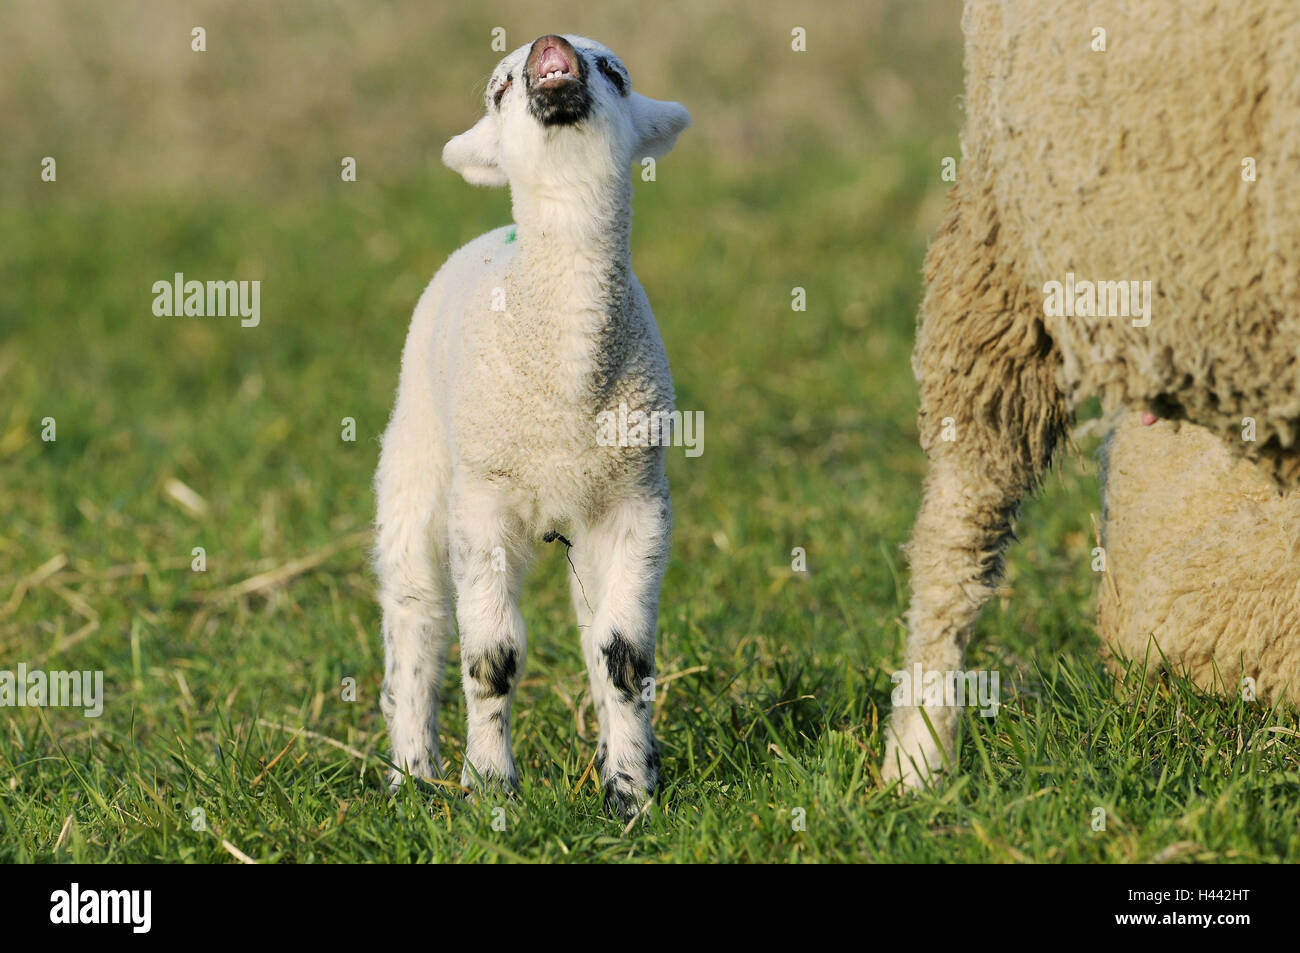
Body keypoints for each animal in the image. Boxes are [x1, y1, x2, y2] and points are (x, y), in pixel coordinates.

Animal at [373, 34, 689, 817]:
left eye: (613, 70)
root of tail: (498, 230)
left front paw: (632, 795)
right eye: (498, 87)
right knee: (416, 616)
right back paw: (412, 777)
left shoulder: (637, 500)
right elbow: (492, 658)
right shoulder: (484, 502)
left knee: (589, 627)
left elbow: (622, 653)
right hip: (417, 457)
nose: (552, 49)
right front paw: (491, 794)